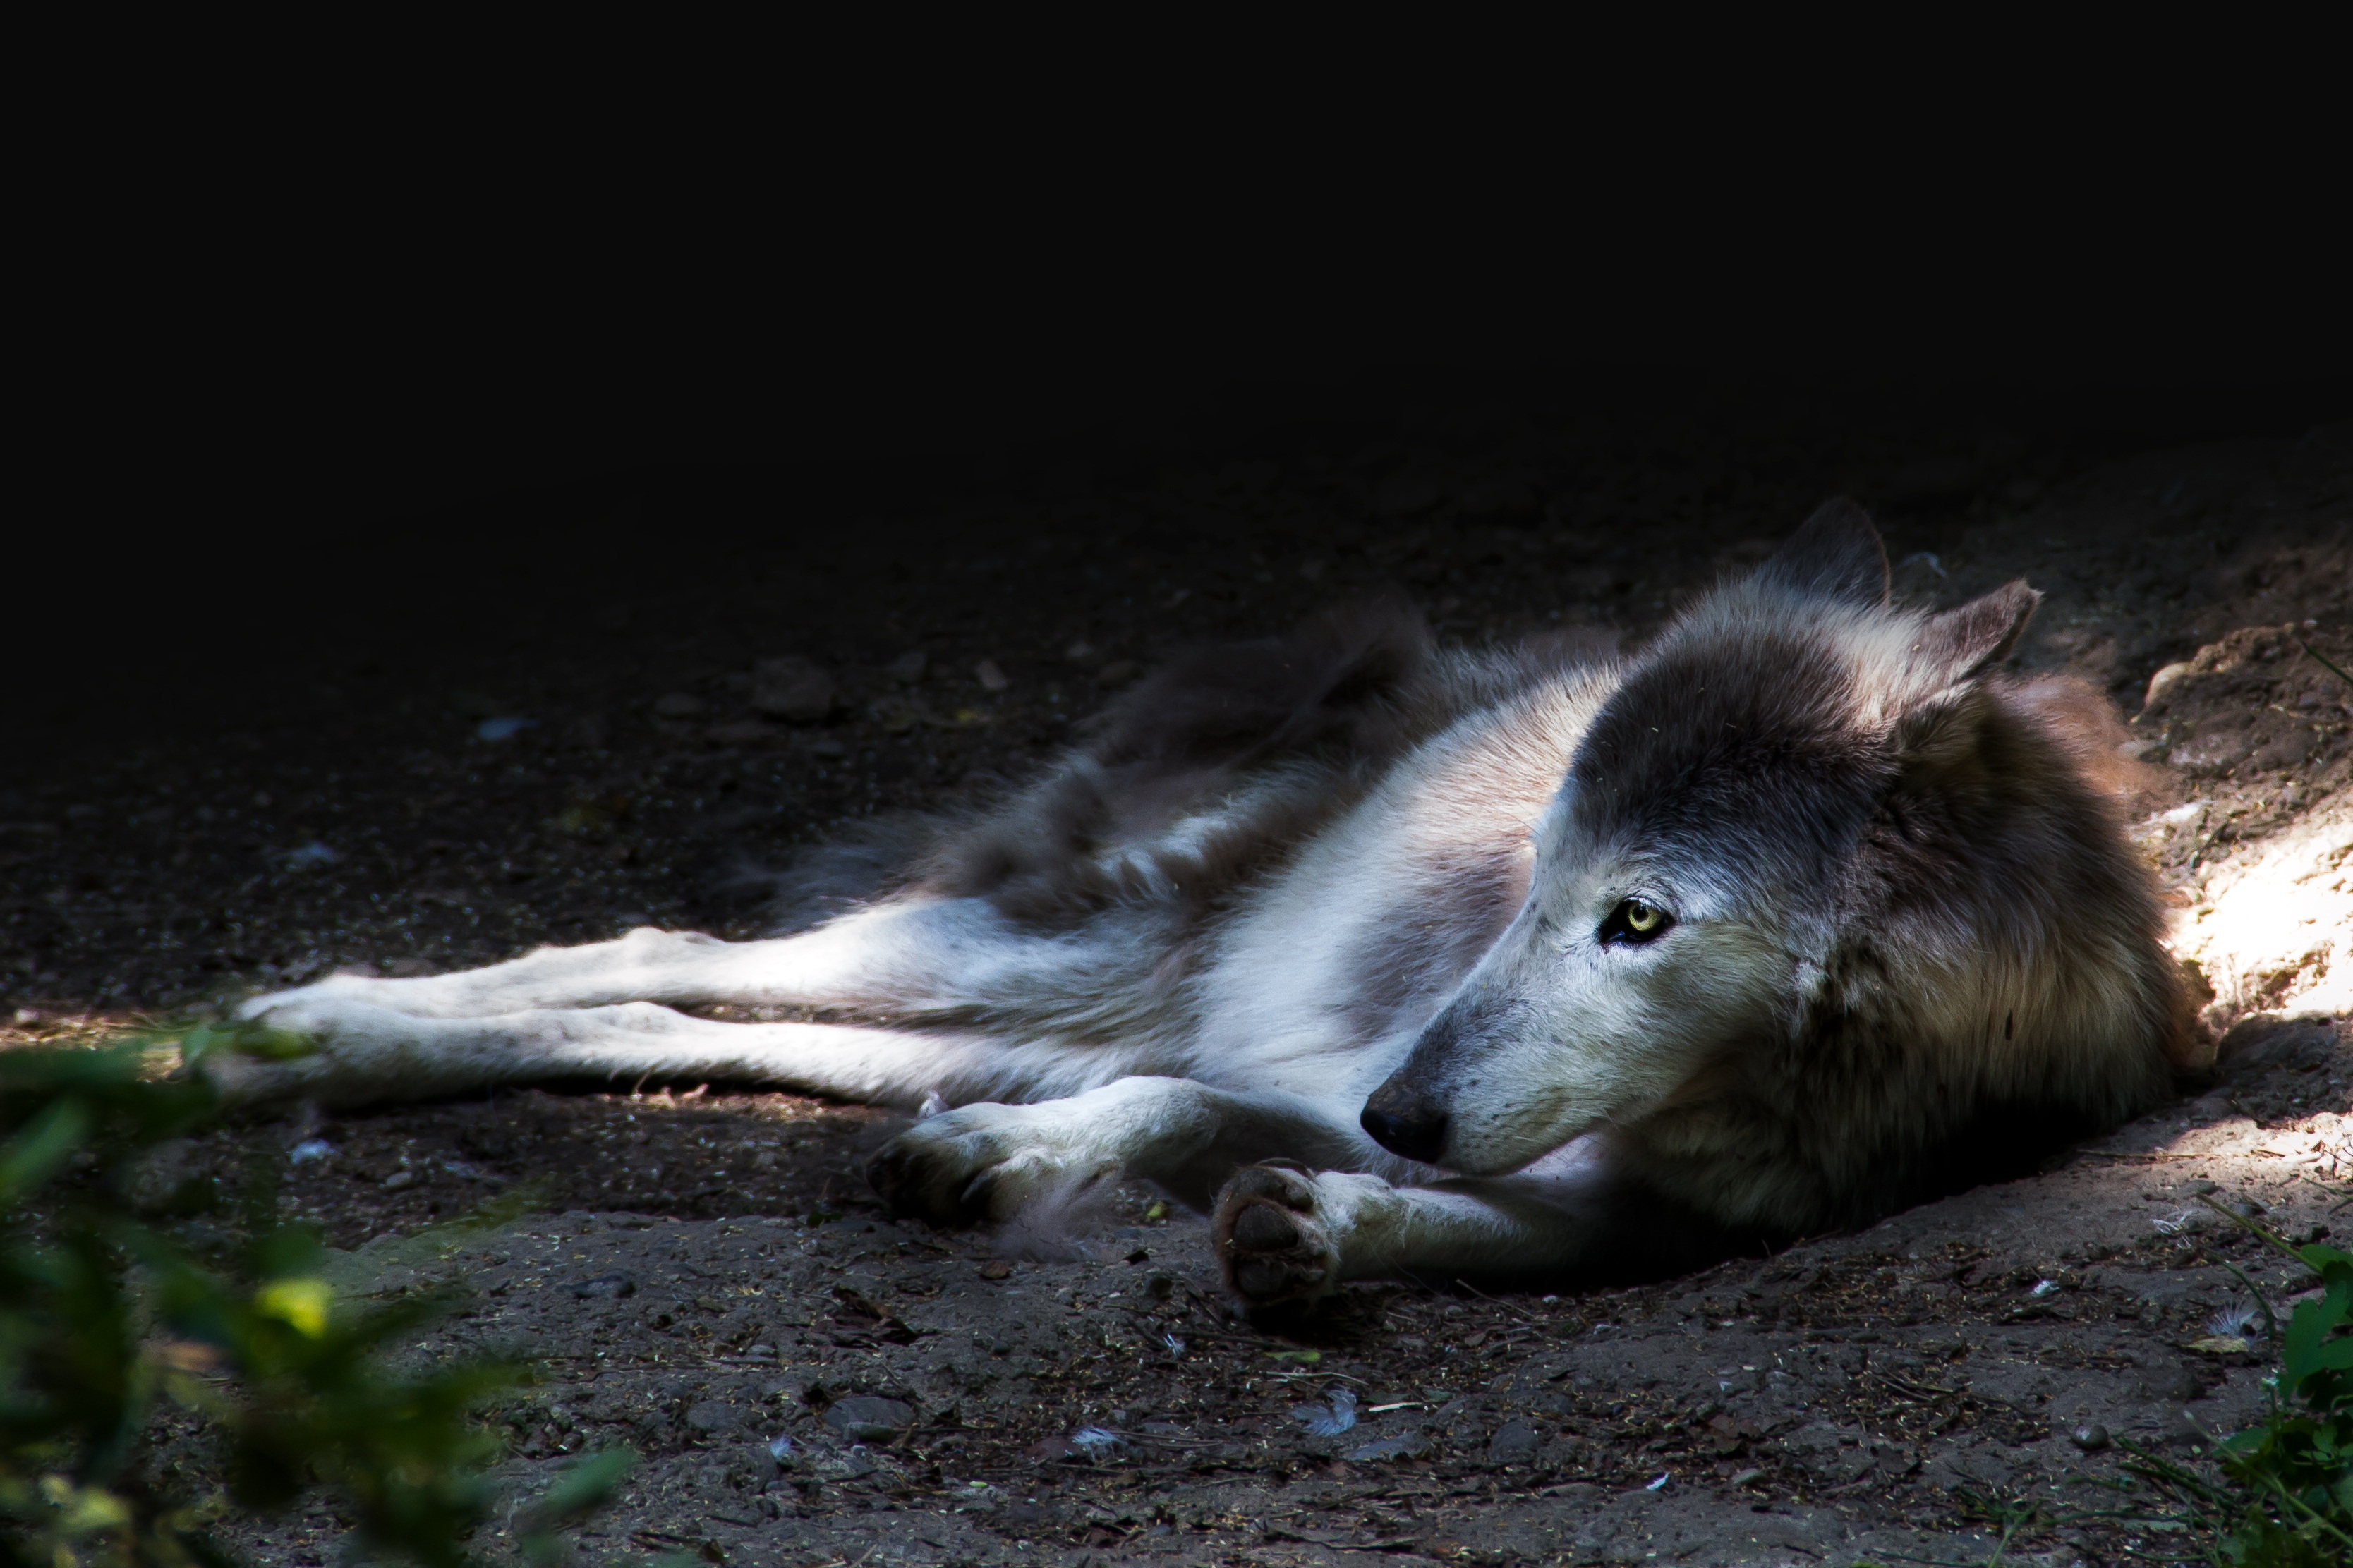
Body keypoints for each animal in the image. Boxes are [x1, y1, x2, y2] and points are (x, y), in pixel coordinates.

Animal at [216, 502, 2195, 1303]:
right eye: (1531, 886)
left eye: (1636, 919)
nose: (1401, 1110)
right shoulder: (1320, 1074)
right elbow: (1168, 1108)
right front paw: (1022, 1179)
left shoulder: (1657, 1222)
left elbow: (1424, 1209)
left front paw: (1316, 1229)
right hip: (1042, 949)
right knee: (661, 952)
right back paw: (287, 1029)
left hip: (1004, 1015)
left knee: (668, 1016)